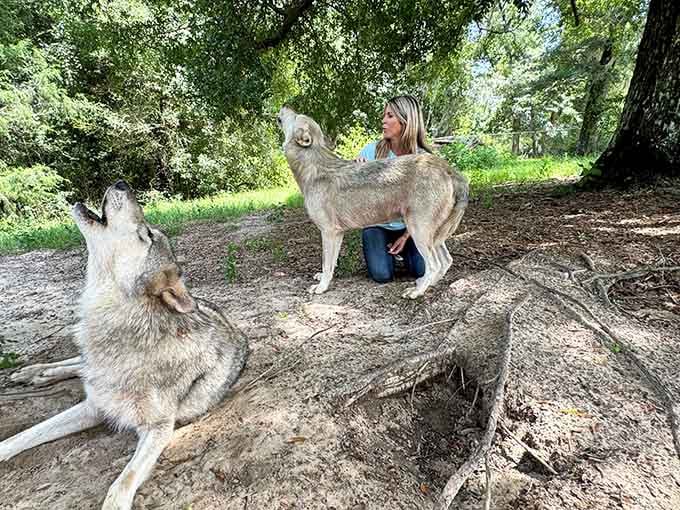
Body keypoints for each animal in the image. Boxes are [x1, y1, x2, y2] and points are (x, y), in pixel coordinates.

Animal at [0, 181, 248, 510]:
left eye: (147, 234)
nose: (122, 184)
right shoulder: (94, 406)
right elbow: (25, 435)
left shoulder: (158, 428)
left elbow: (122, 483)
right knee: (74, 364)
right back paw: (34, 372)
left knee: (79, 367)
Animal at [277, 106, 469, 299]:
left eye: (295, 115)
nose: (285, 105)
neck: (313, 166)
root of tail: (448, 169)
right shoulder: (337, 234)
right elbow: (331, 264)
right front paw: (323, 278)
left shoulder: (328, 232)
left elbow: (326, 262)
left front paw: (321, 287)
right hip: (434, 236)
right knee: (446, 261)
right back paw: (423, 283)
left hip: (418, 232)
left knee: (435, 264)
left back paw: (416, 291)